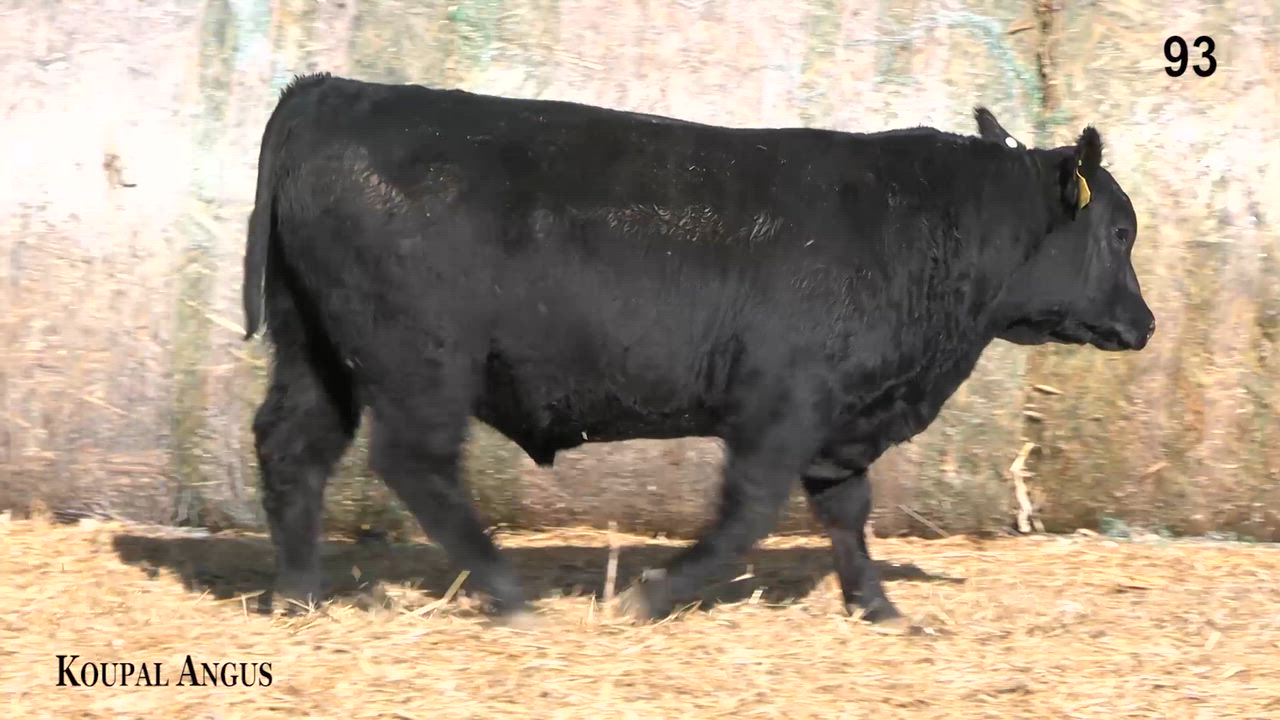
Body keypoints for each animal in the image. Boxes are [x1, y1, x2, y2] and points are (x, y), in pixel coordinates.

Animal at [242, 73, 1154, 626]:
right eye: (1120, 230)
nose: (1146, 324)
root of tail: (331, 92)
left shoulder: (839, 422)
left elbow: (848, 515)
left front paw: (879, 608)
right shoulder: (782, 408)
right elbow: (747, 515)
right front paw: (652, 595)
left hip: (314, 349)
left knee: (294, 446)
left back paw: (298, 595)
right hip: (419, 362)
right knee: (417, 464)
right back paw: (505, 592)